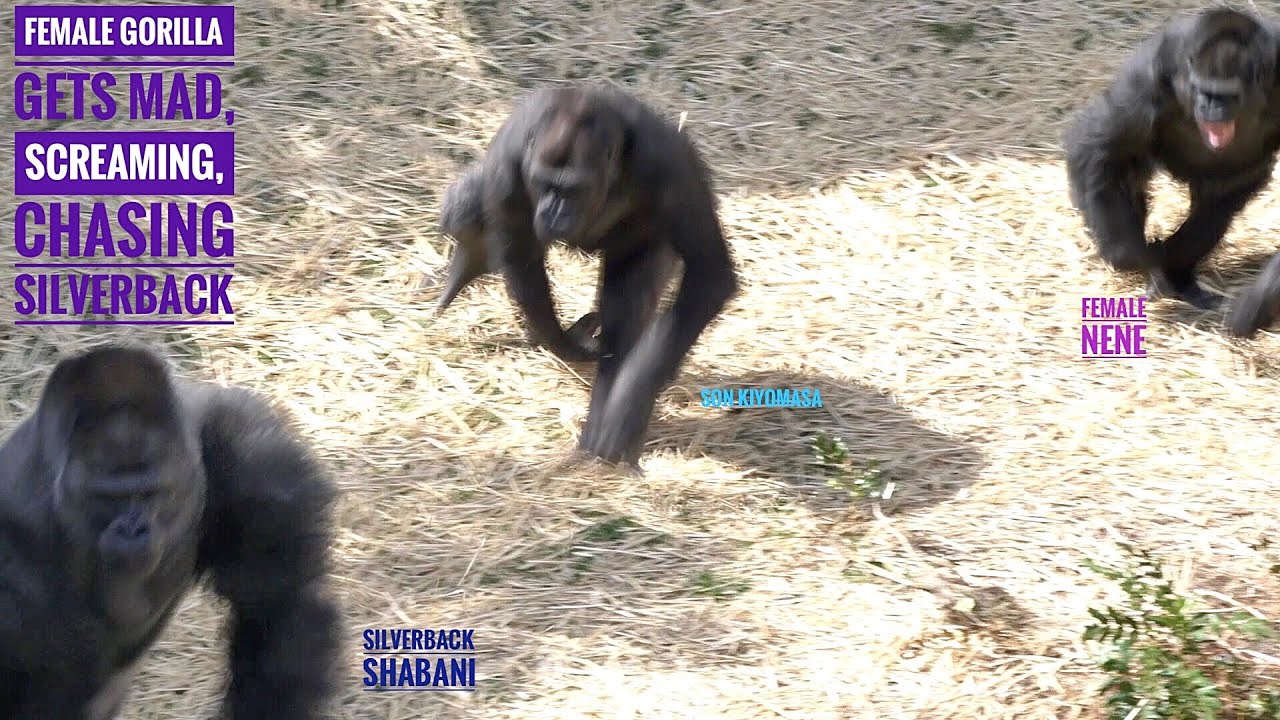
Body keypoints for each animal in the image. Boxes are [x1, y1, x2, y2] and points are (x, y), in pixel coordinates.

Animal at [437, 84, 739, 465]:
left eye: (573, 190)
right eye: (544, 184)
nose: (553, 212)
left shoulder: (671, 164)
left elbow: (708, 274)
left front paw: (627, 407)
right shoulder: (509, 161)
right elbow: (522, 259)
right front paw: (569, 346)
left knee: (627, 308)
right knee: (469, 206)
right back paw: (467, 262)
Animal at [1064, 7, 1280, 312]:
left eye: (1228, 96)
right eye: (1203, 91)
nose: (1211, 108)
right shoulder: (1150, 77)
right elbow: (1102, 147)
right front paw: (1126, 251)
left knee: (1217, 207)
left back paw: (1177, 271)